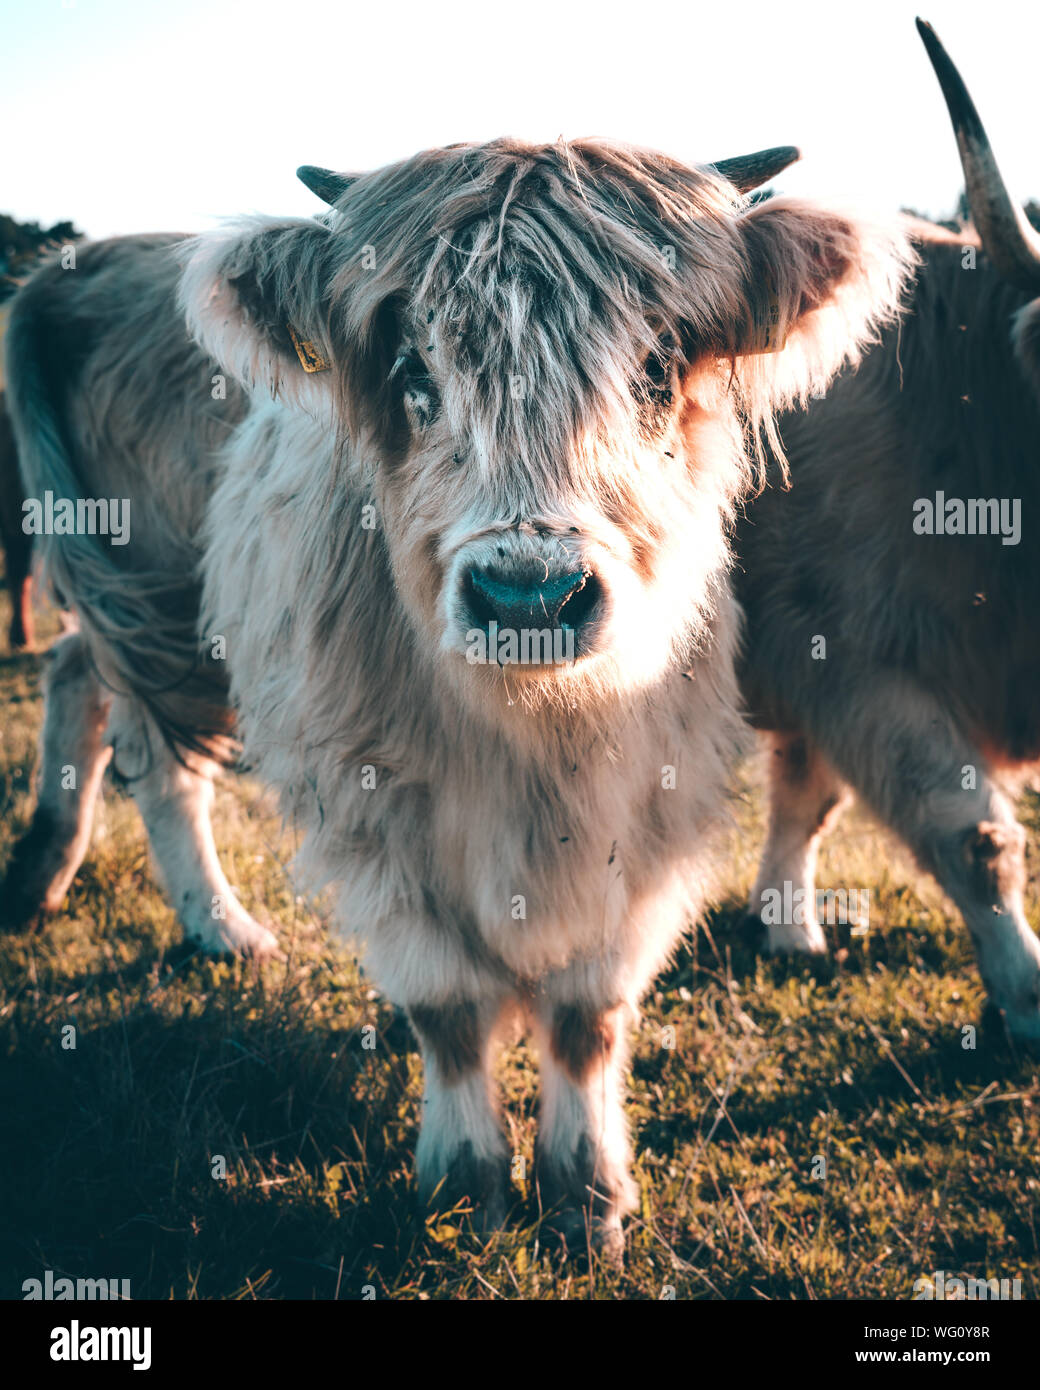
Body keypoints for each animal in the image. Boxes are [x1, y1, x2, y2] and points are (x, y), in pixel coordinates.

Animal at [2, 136, 909, 1247]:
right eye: (411, 370)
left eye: (656, 366)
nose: (529, 594)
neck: (535, 740)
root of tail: (82, 262)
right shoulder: (375, 812)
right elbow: (449, 1007)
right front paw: (467, 1182)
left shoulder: (658, 803)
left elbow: (589, 1013)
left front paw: (588, 1193)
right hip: (148, 594)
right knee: (153, 752)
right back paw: (219, 925)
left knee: (74, 675)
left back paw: (45, 865)